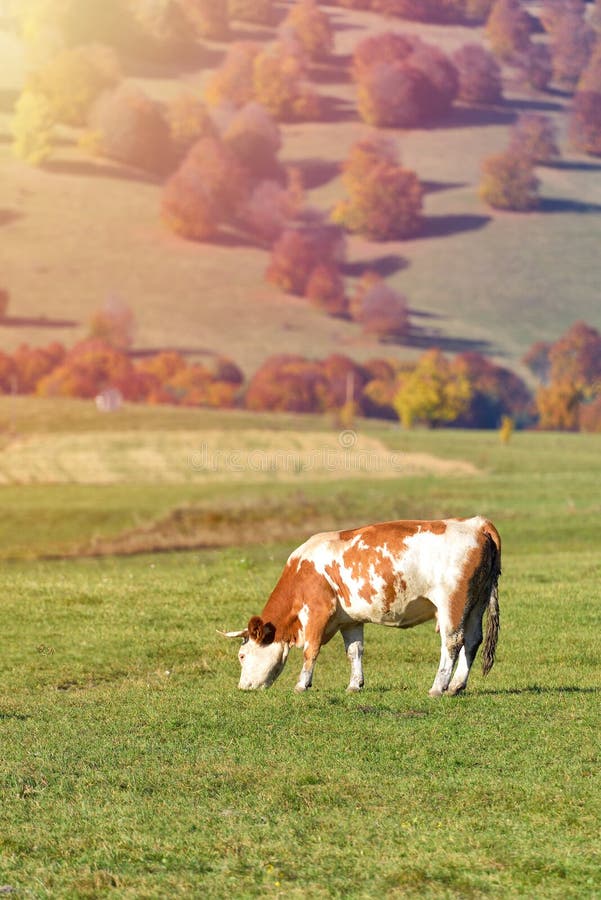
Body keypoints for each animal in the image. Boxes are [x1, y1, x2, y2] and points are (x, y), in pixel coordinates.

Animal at [221, 516, 501, 697]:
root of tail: (474, 522)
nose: (242, 688)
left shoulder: (317, 611)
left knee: (452, 642)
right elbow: (354, 651)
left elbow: (311, 651)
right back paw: (456, 686)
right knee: (472, 640)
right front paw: (354, 685)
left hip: (452, 602)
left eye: (242, 655)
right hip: (476, 603)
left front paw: (302, 685)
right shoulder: (350, 620)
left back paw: (438, 687)